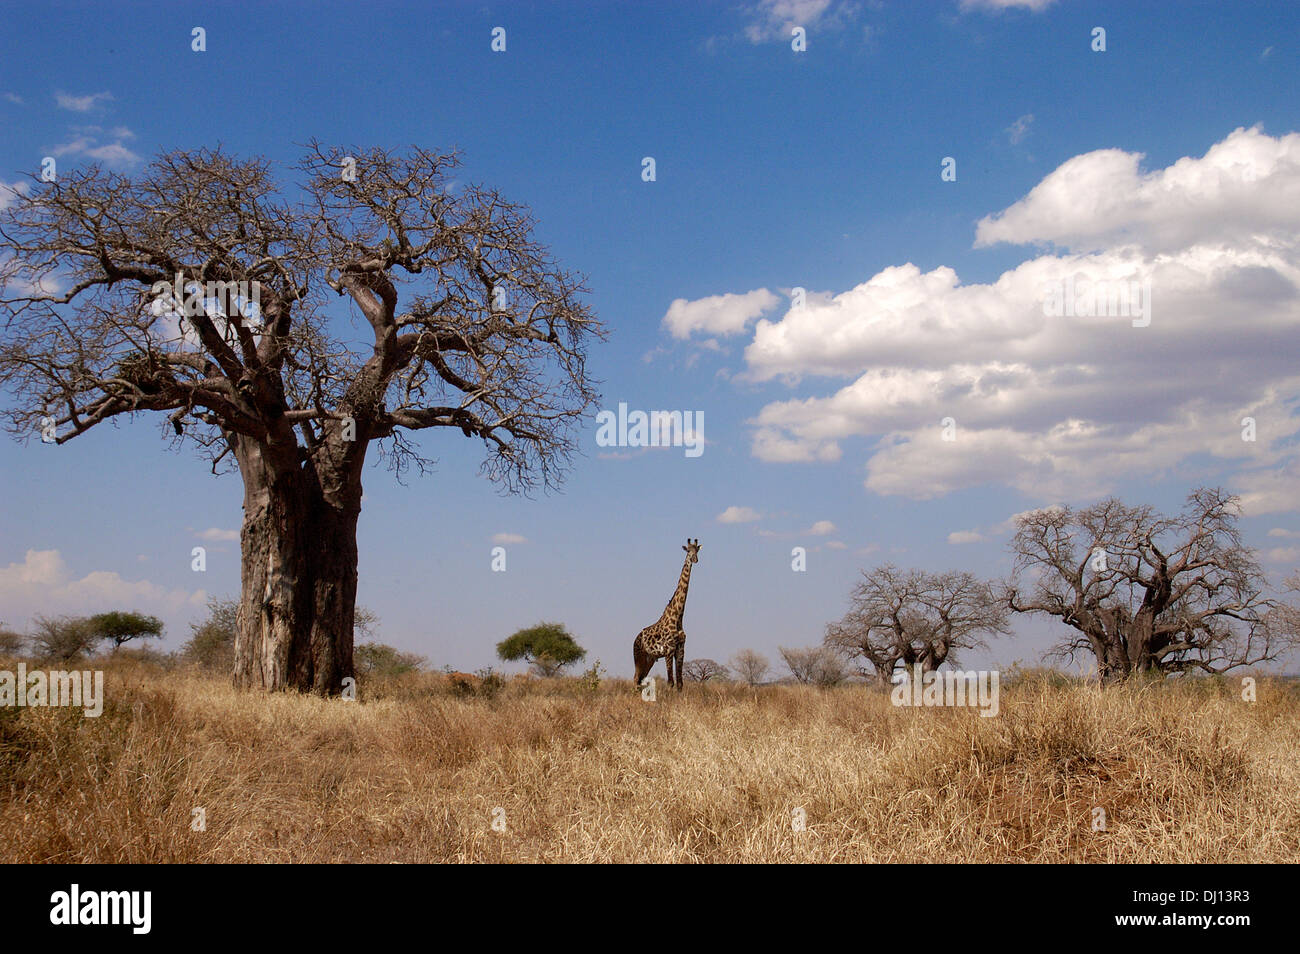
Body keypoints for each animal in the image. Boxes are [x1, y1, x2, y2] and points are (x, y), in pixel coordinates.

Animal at [633, 538, 700, 692]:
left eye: (697, 550)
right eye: (688, 551)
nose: (695, 559)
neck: (678, 616)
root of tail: (636, 638)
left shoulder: (680, 650)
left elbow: (680, 683)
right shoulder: (669, 650)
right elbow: (670, 682)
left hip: (650, 658)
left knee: (640, 679)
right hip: (638, 656)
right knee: (635, 679)